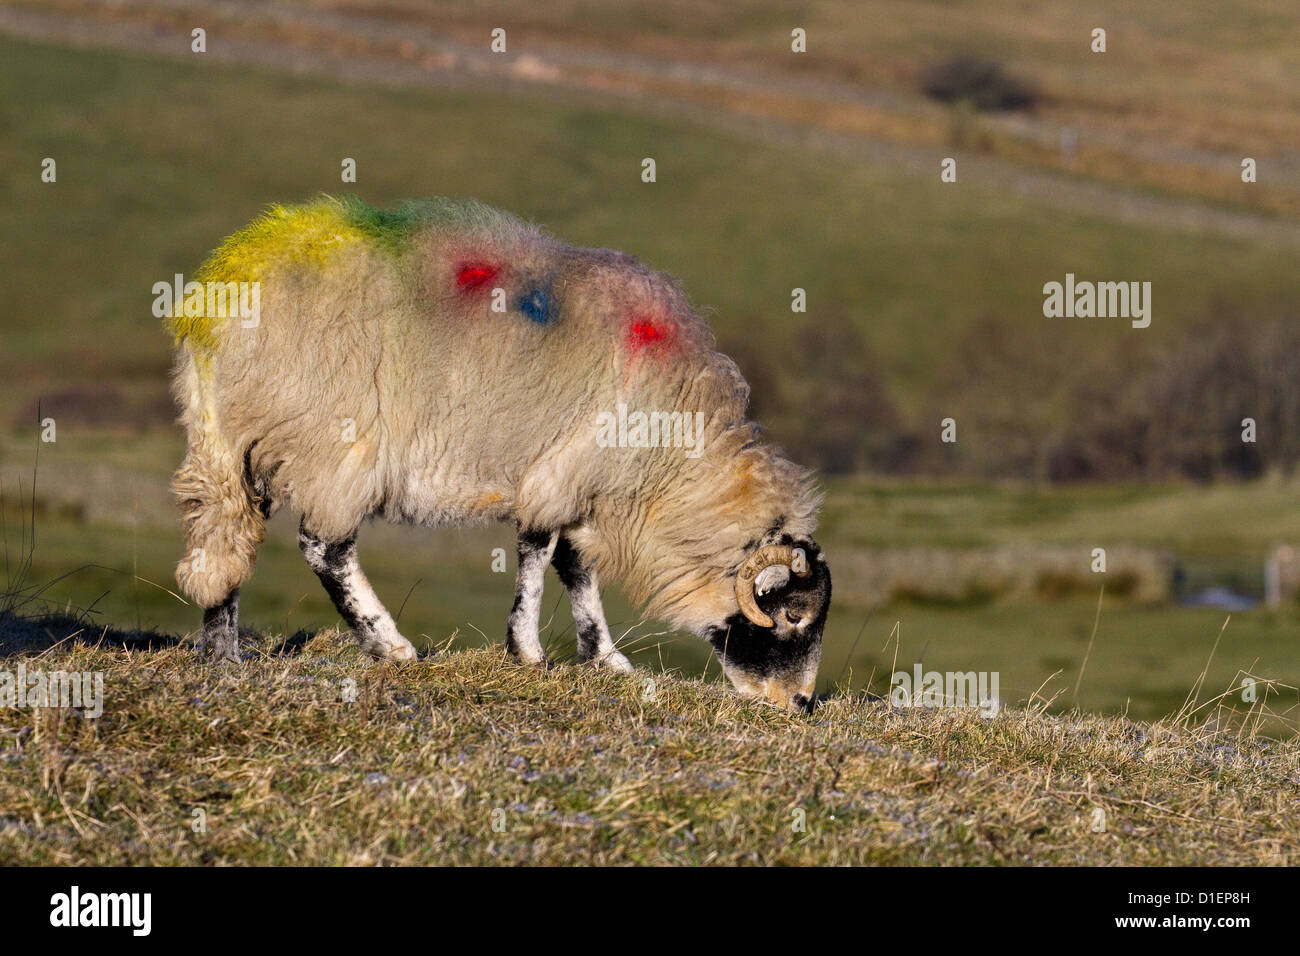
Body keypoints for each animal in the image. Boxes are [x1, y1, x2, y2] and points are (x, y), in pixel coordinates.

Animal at [166, 196, 831, 711]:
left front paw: (606, 659)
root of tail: (223, 298)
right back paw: (390, 646)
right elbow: (539, 554)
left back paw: (222, 655)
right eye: (794, 618)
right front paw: (528, 653)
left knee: (224, 540)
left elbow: (578, 570)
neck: (675, 468)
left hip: (226, 443)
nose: (800, 705)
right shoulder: (564, 472)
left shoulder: (583, 488)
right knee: (323, 547)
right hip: (333, 442)